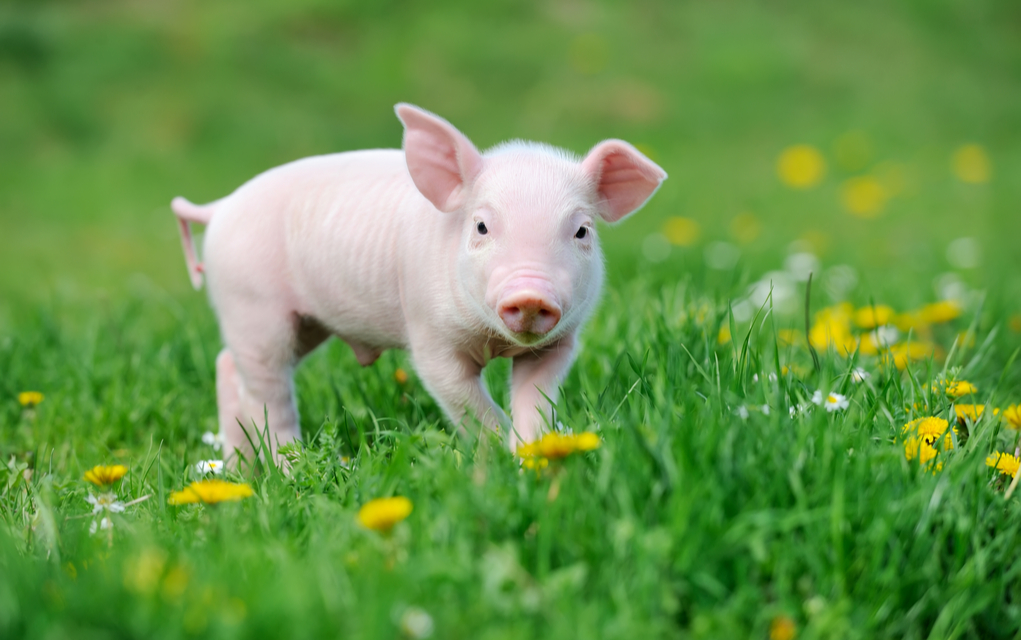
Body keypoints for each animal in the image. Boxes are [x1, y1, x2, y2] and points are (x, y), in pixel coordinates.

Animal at [172, 104, 666, 462]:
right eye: (481, 226)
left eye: (581, 231)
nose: (530, 294)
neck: (494, 341)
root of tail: (219, 207)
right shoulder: (430, 338)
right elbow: (469, 404)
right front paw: (497, 462)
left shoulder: (559, 343)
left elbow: (535, 400)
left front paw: (533, 456)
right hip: (251, 306)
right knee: (266, 392)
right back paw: (290, 467)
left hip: (301, 322)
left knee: (229, 368)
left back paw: (239, 473)